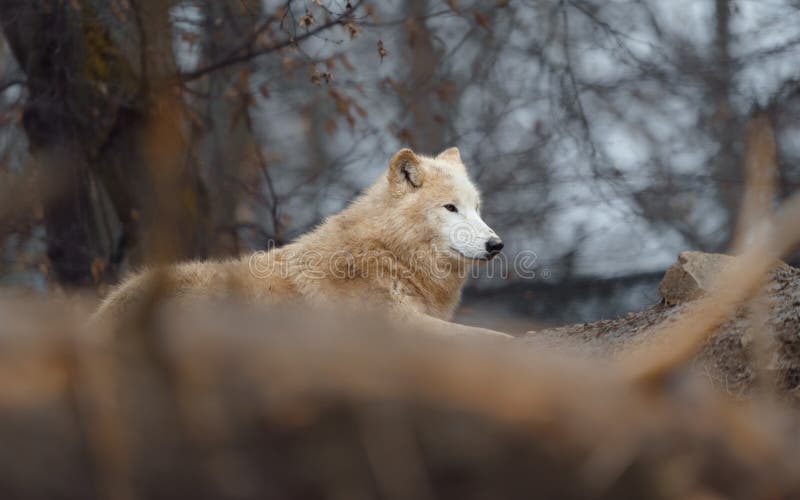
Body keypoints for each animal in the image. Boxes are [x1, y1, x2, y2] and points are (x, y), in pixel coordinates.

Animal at [94, 147, 510, 338]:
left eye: (476, 208)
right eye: (450, 208)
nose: (496, 245)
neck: (388, 254)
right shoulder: (399, 325)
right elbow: (489, 337)